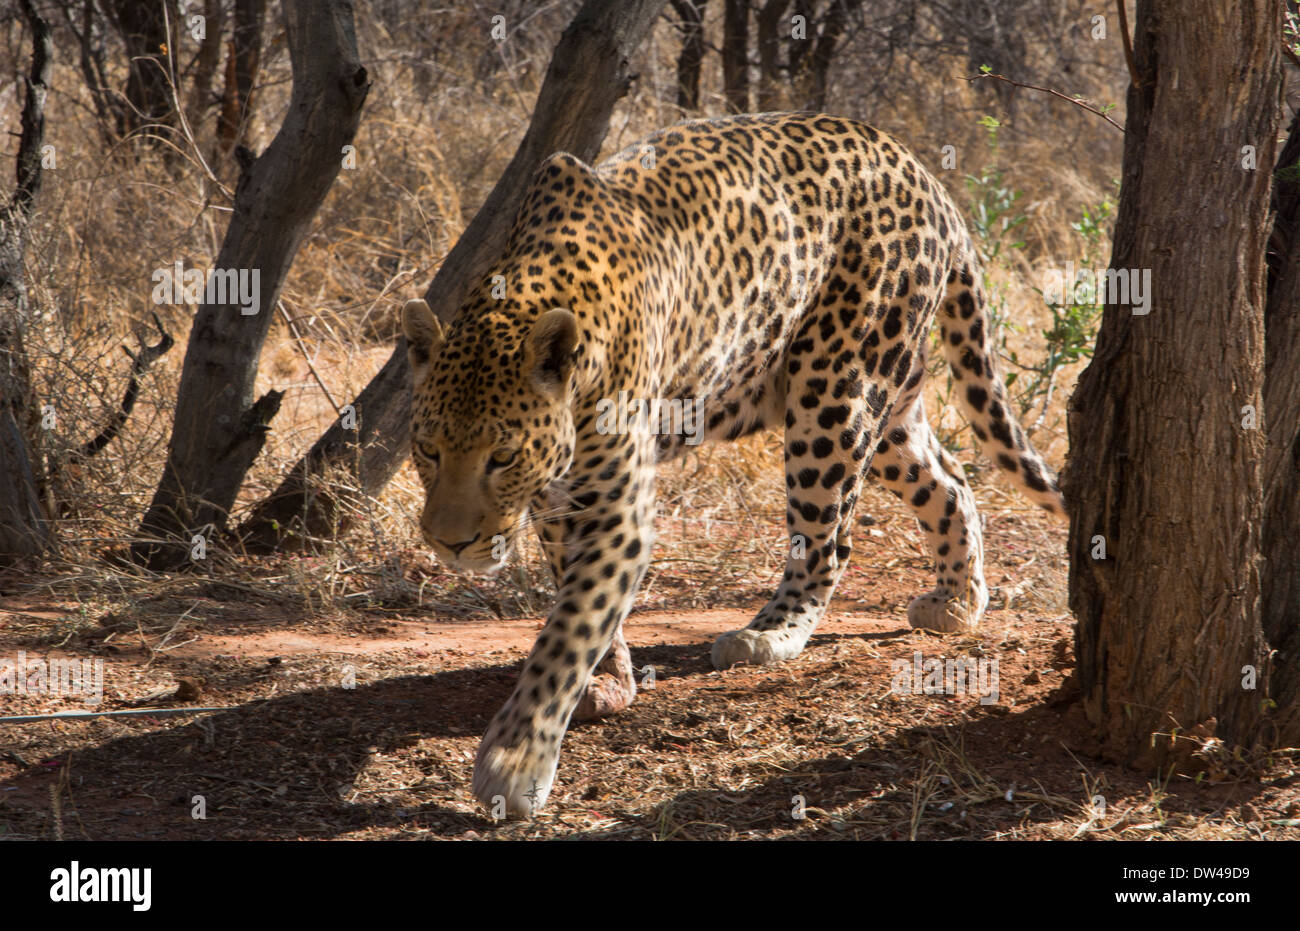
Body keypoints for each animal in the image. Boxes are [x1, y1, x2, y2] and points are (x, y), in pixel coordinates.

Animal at [400, 112, 1064, 818]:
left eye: (501, 457)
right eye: (428, 449)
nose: (449, 542)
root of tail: (927, 175)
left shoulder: (615, 511)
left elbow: (570, 627)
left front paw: (516, 761)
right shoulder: (561, 501)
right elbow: (576, 598)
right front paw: (607, 679)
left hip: (835, 390)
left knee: (829, 541)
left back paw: (769, 635)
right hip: (887, 409)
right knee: (950, 479)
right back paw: (958, 600)